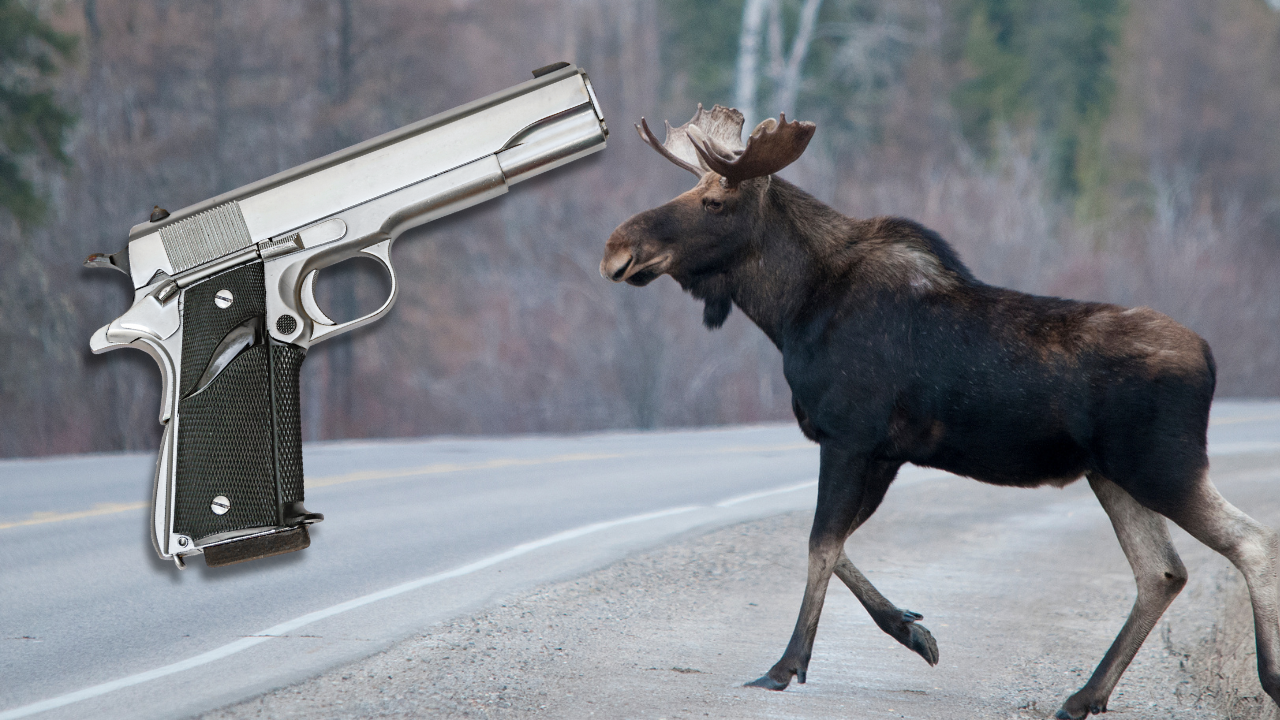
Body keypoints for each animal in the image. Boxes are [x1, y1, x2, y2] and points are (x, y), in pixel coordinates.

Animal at [599, 104, 1280, 719]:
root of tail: (1210, 358)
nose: (616, 247)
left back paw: (1266, 679)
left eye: (714, 202)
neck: (789, 310)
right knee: (1161, 572)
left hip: (1162, 464)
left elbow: (821, 543)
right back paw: (1083, 696)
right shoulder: (883, 452)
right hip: (1111, 474)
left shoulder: (849, 436)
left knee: (1250, 541)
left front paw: (786, 665)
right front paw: (912, 628)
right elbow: (836, 544)